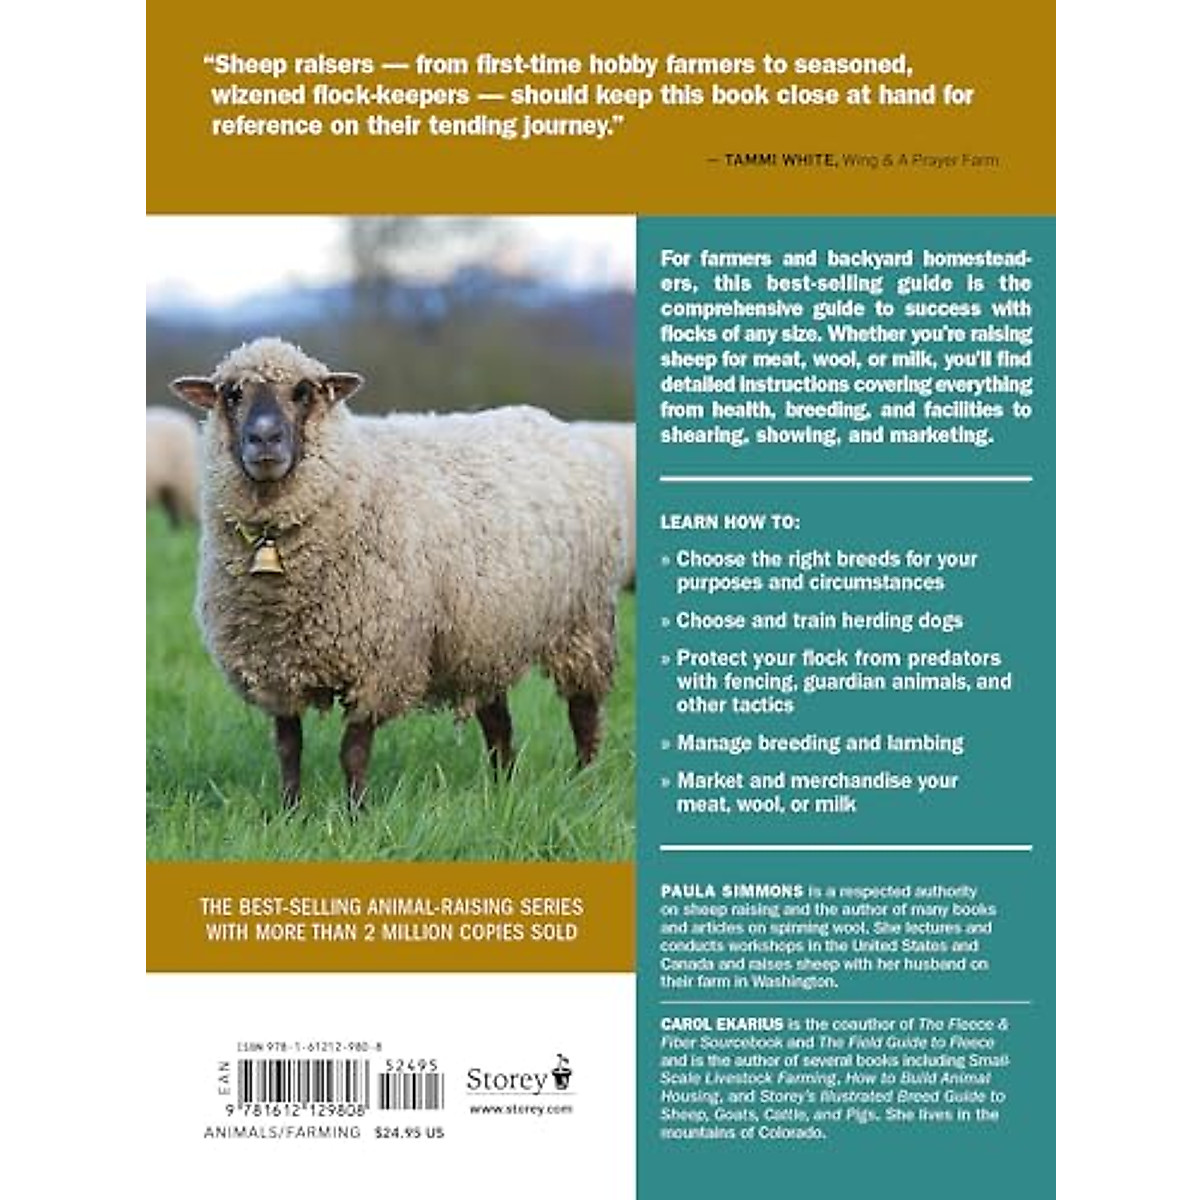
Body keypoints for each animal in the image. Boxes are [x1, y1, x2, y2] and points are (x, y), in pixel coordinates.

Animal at [171, 337, 626, 810]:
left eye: (303, 392)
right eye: (231, 394)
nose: (264, 438)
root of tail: (551, 423)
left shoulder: (379, 660)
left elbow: (352, 751)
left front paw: (356, 814)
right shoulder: (277, 667)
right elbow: (288, 747)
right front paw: (289, 812)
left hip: (583, 624)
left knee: (584, 712)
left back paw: (585, 782)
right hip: (485, 635)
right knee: (498, 722)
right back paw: (503, 789)